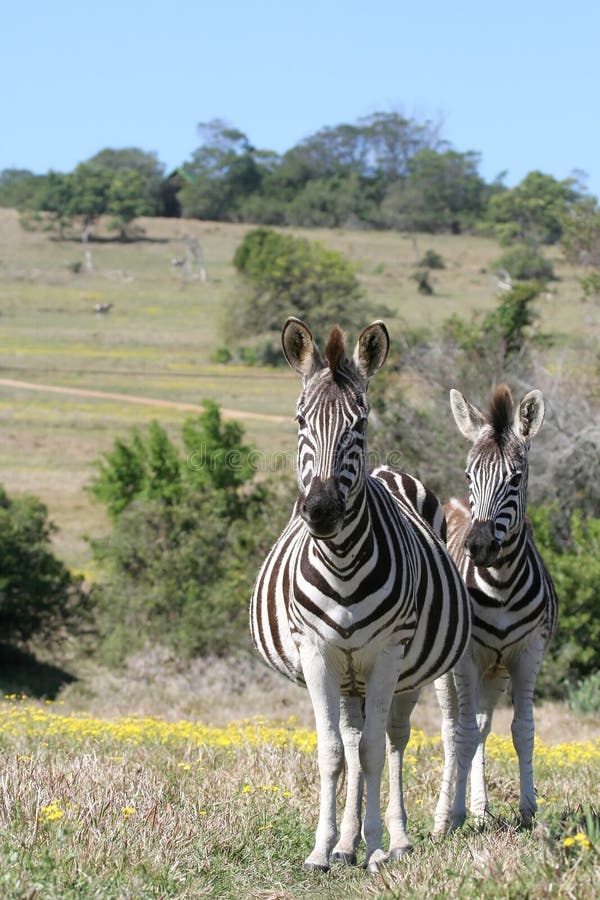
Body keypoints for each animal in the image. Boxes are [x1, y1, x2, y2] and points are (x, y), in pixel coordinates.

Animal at [250, 317, 476, 872]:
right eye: (300, 421)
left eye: (360, 424)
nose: (322, 510)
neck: (342, 564)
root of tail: (386, 471)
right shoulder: (315, 652)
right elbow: (333, 751)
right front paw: (321, 848)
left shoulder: (388, 653)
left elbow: (374, 752)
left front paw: (376, 847)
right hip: (347, 673)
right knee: (352, 739)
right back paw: (344, 843)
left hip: (406, 672)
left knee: (391, 740)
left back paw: (393, 840)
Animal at [433, 385, 558, 835]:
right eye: (470, 475)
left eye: (516, 479)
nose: (480, 546)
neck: (501, 583)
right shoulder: (467, 658)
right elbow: (464, 734)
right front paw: (452, 818)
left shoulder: (527, 654)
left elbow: (522, 730)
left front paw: (529, 811)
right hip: (451, 670)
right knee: (453, 729)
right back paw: (444, 814)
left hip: (494, 670)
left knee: (483, 727)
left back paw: (481, 808)